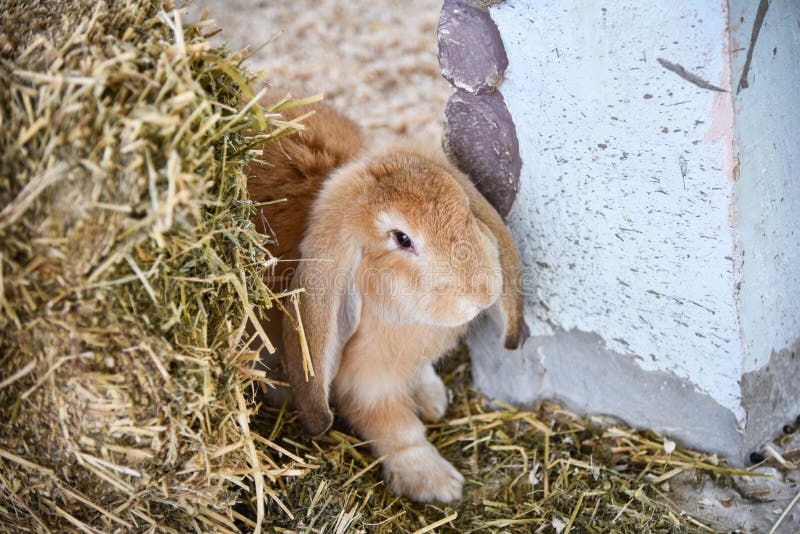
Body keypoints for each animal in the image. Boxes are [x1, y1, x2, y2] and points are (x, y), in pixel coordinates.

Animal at [247, 94, 525, 503]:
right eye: (402, 239)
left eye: (464, 208)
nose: (481, 293)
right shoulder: (366, 386)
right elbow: (396, 429)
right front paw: (436, 483)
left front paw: (432, 399)